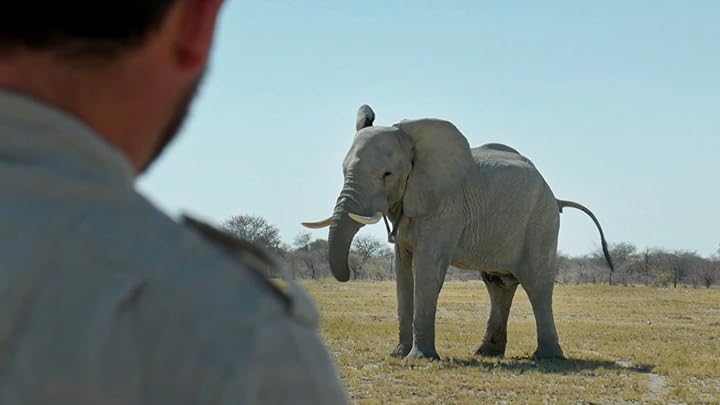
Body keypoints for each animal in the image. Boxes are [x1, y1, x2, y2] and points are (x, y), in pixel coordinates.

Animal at [303, 104, 614, 361]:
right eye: (343, 170)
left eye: (387, 174)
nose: (348, 273)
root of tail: (556, 198)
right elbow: (403, 273)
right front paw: (398, 354)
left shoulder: (446, 207)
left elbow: (426, 269)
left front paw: (419, 359)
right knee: (499, 284)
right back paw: (486, 353)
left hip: (540, 221)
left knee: (536, 284)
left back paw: (547, 358)